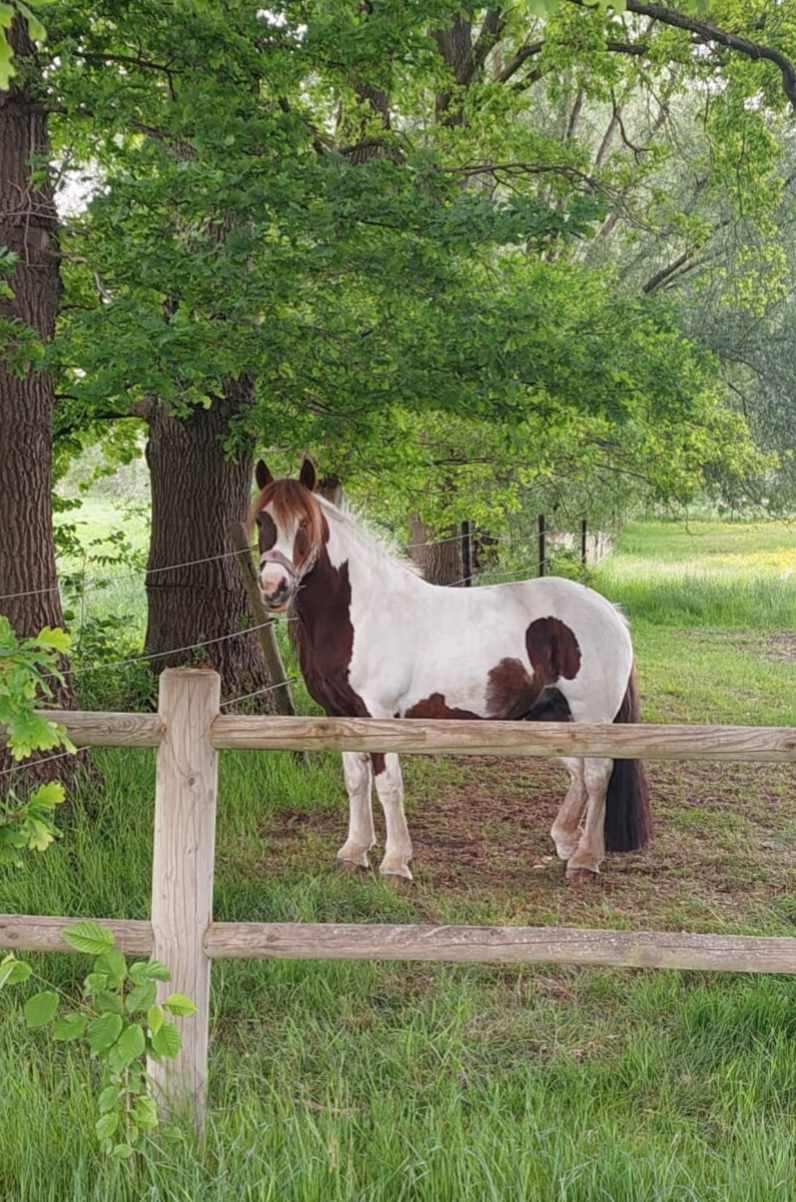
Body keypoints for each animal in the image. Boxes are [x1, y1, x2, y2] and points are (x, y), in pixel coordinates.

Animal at [249, 459, 651, 884]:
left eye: (305, 523)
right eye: (262, 520)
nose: (274, 587)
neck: (360, 611)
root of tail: (610, 612)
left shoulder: (379, 714)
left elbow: (388, 785)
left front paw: (395, 863)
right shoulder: (340, 714)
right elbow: (356, 781)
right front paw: (353, 852)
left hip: (592, 716)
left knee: (597, 774)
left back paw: (585, 859)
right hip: (552, 715)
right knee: (578, 771)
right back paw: (565, 841)